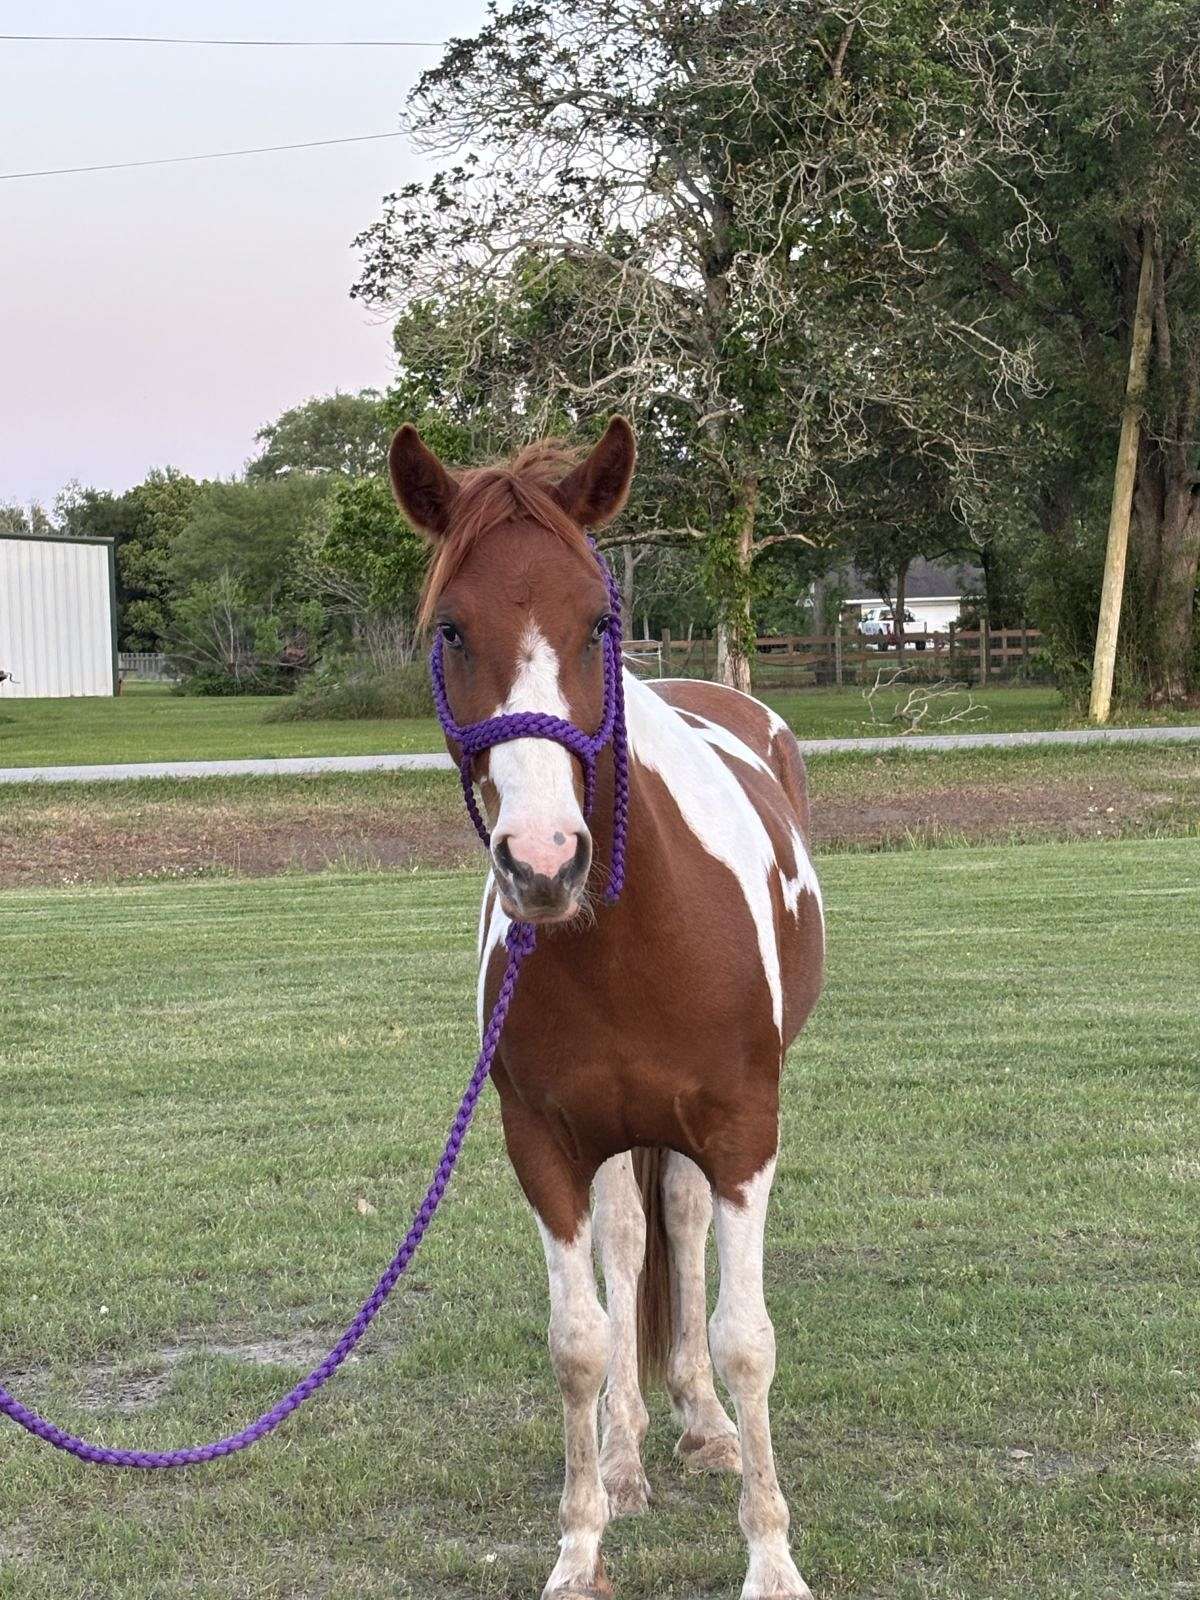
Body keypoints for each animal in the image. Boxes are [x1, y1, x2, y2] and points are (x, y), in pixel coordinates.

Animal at [389, 416, 825, 1600]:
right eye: (452, 627)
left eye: (598, 618)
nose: (544, 861)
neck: (629, 945)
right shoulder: (542, 1144)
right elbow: (581, 1340)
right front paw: (581, 1543)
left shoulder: (743, 1132)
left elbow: (745, 1338)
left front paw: (771, 1555)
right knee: (634, 1246)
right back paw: (631, 1450)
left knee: (679, 1234)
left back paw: (704, 1430)